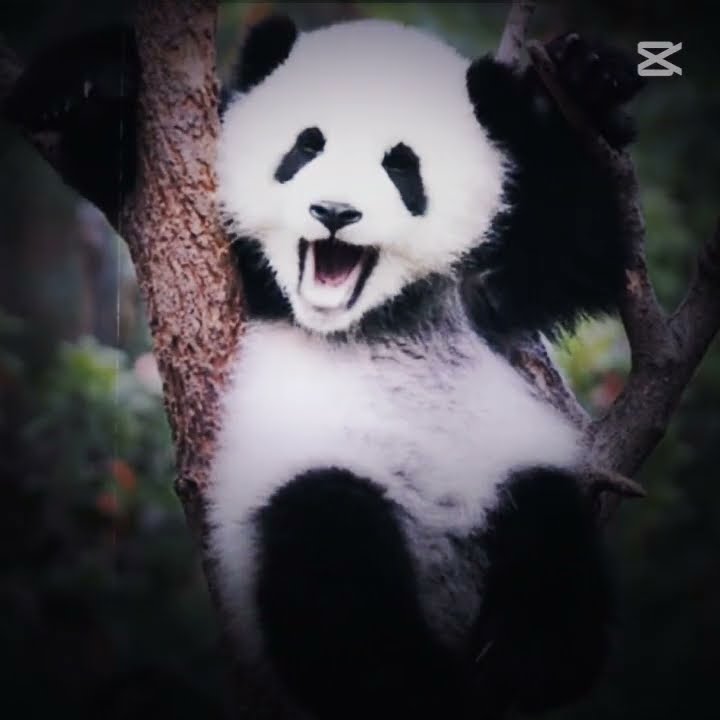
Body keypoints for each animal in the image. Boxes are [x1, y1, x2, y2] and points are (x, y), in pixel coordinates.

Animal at [4, 14, 644, 720]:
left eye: (401, 165)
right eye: (305, 147)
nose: (335, 212)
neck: (364, 318)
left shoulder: (490, 282)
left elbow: (574, 247)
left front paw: (588, 79)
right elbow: (116, 166)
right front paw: (78, 82)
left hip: (506, 471)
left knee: (547, 535)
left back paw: (527, 660)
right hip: (297, 494)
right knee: (329, 555)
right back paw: (413, 687)